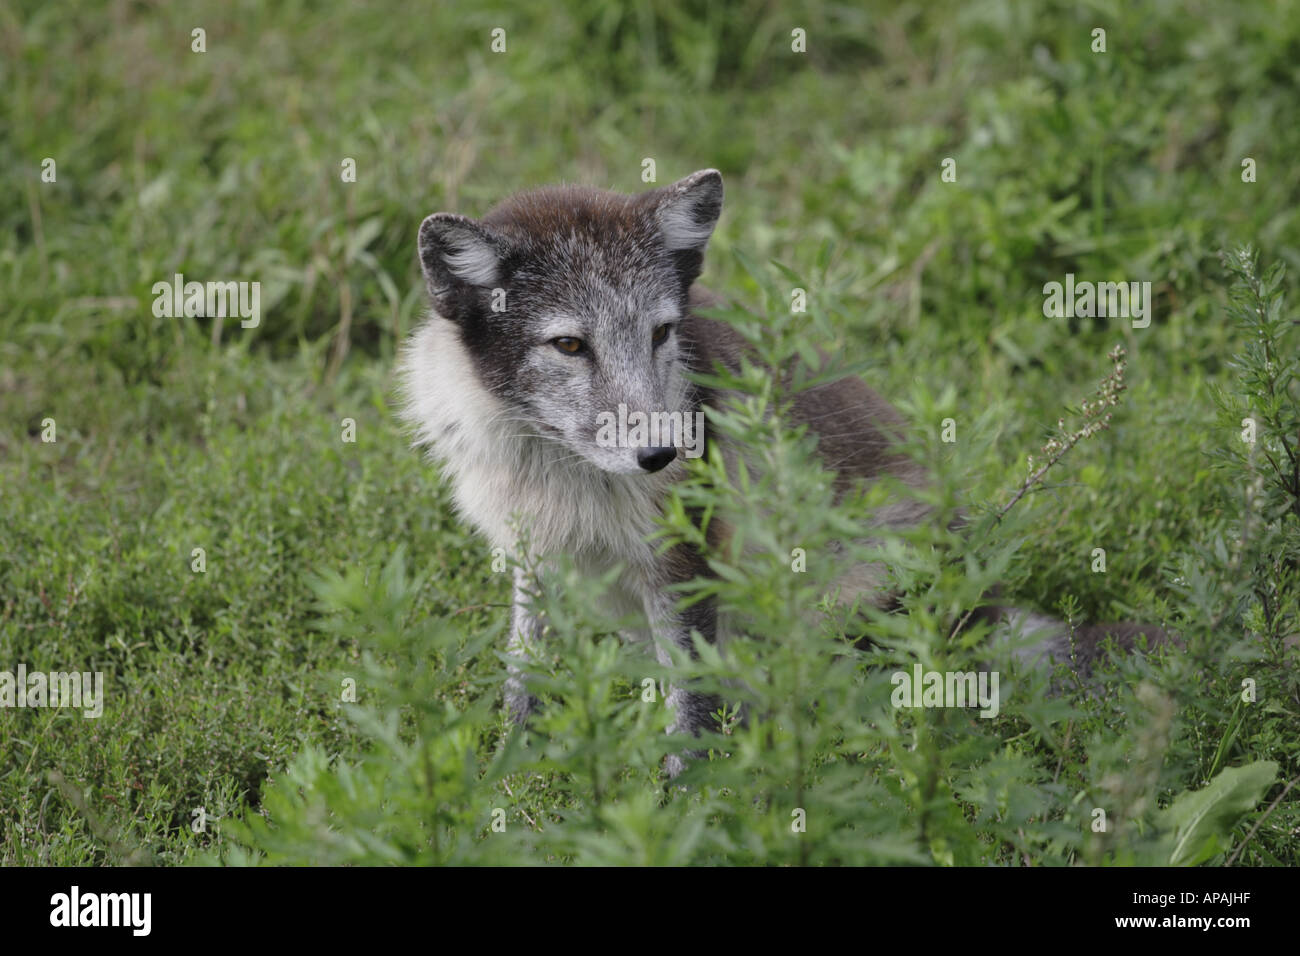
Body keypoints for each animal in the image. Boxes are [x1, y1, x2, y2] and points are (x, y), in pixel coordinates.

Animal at [398, 169, 1168, 776]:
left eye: (661, 333)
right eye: (568, 345)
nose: (663, 455)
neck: (557, 466)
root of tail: (990, 608)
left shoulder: (682, 563)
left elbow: (690, 707)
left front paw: (685, 804)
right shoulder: (534, 557)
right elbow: (522, 674)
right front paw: (511, 770)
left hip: (836, 604)